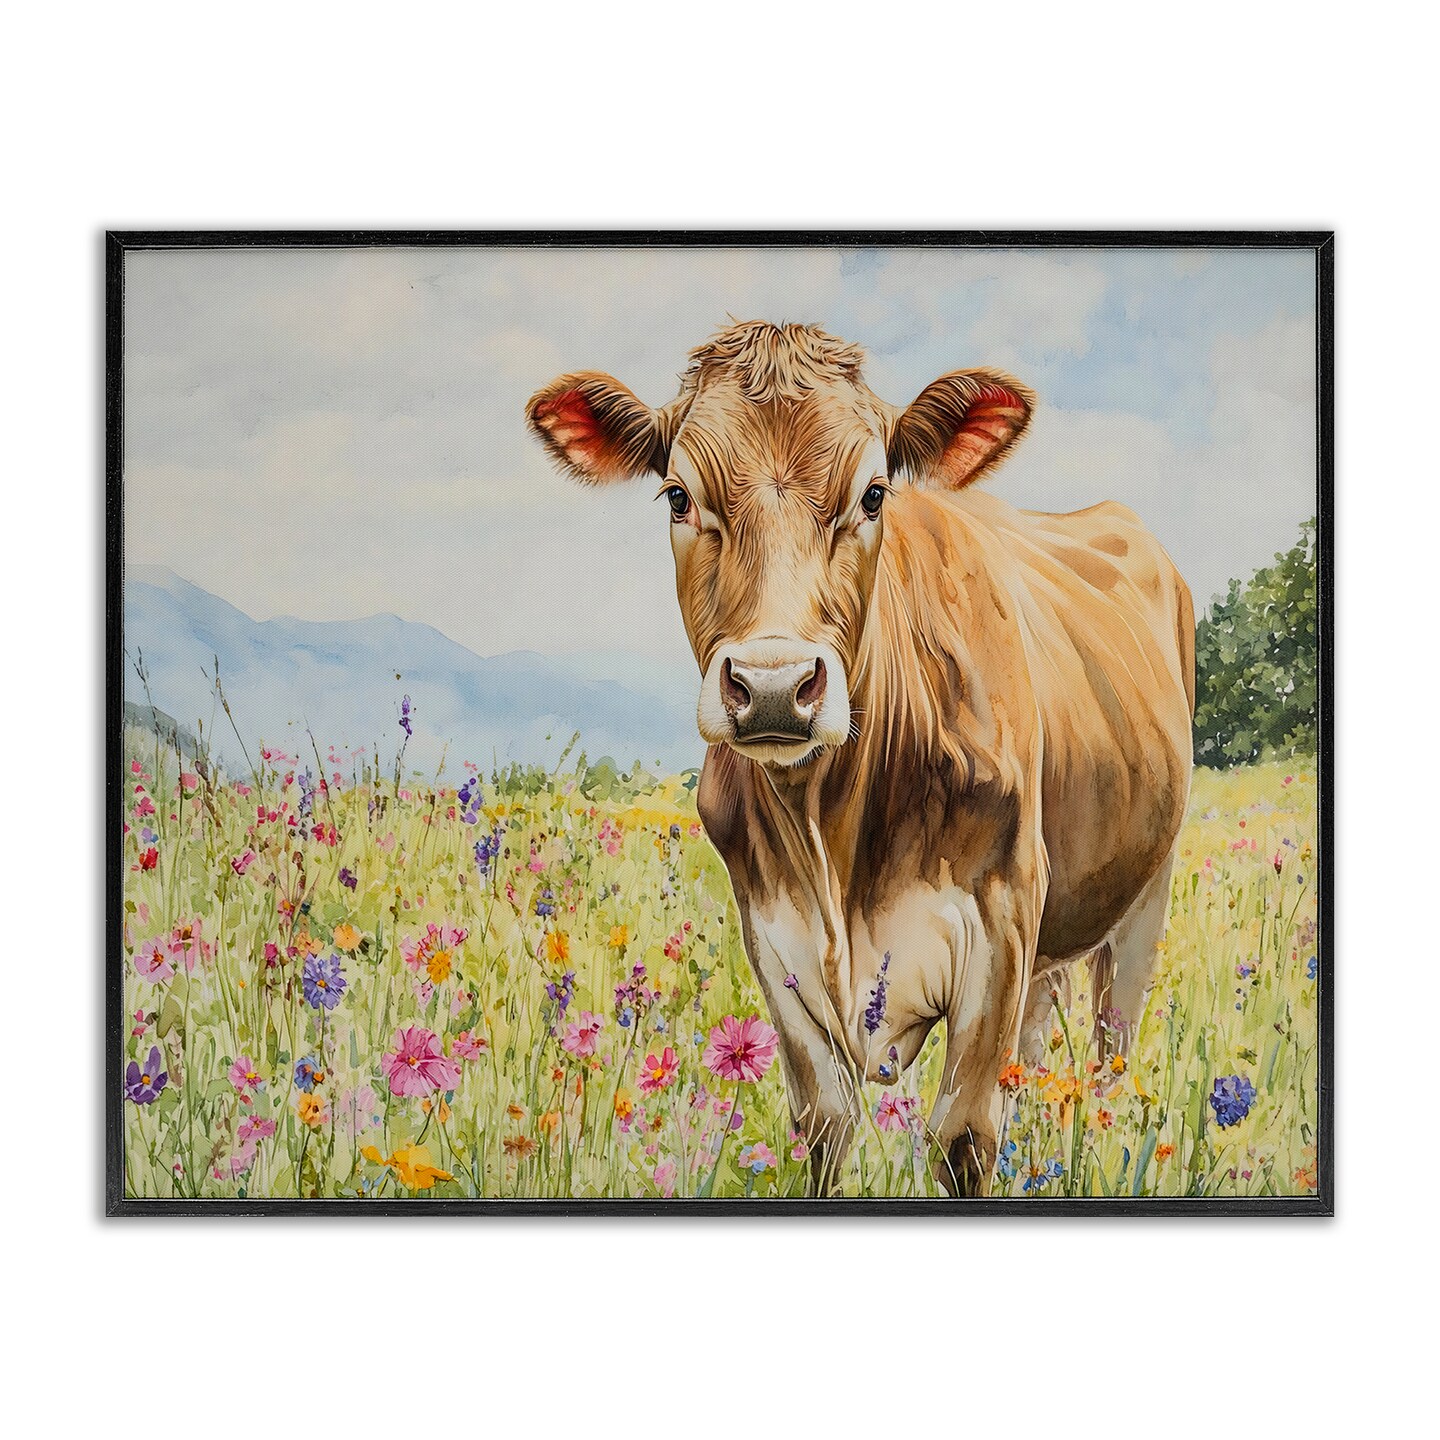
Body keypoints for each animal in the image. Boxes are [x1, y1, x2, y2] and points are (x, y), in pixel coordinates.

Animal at [526, 321, 1195, 1197]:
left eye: (874, 494)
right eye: (678, 495)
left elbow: (964, 1139)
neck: (832, 835)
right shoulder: (778, 947)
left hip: (1144, 899)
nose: (774, 686)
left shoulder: (1002, 923)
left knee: (1113, 1054)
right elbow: (824, 1130)